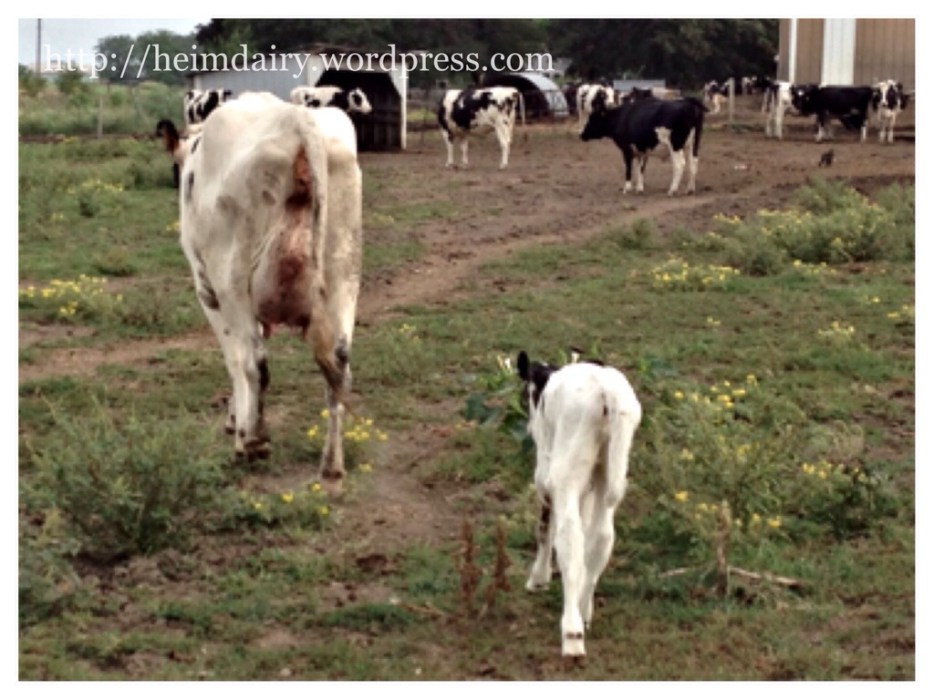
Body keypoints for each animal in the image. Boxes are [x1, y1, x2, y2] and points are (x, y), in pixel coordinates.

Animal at [177, 91, 362, 482]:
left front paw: (237, 426)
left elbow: (233, 360)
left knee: (253, 360)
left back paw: (254, 442)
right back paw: (332, 463)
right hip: (344, 272)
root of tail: (296, 118)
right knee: (339, 368)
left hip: (230, 277)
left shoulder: (208, 292)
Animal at [517, 351, 642, 658]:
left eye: (527, 394)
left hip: (565, 471)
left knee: (570, 539)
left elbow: (544, 528)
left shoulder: (545, 474)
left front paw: (538, 579)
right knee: (602, 536)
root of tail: (607, 389)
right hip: (610, 467)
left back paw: (572, 633)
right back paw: (585, 609)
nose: (530, 427)